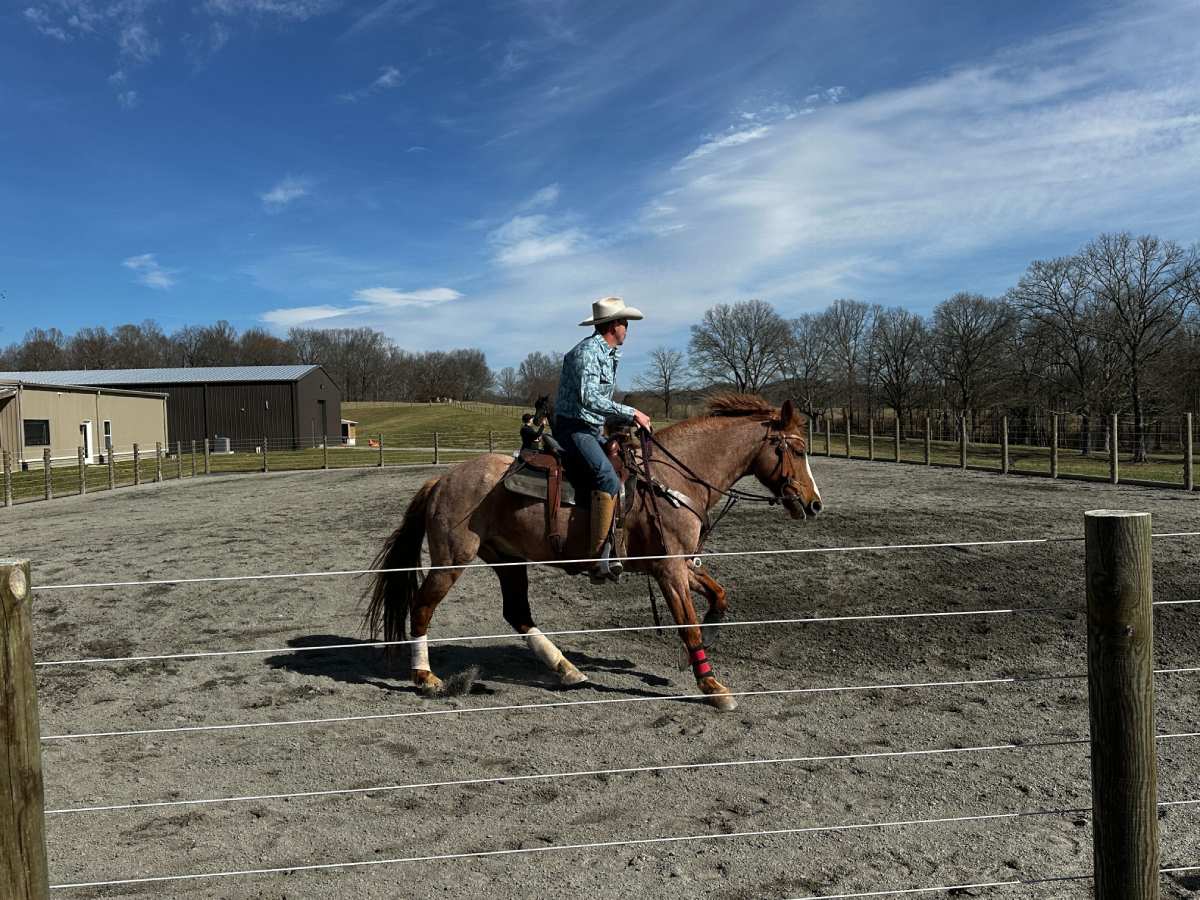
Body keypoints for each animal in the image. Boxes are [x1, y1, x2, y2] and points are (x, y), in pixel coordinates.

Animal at [365, 394, 822, 711]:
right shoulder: (669, 569)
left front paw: (702, 649)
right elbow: (688, 624)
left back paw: (567, 669)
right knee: (422, 607)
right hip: (451, 560)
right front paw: (712, 686)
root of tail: (442, 479)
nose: (815, 504)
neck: (676, 478)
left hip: (508, 560)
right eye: (798, 450)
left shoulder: (674, 564)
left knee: (517, 613)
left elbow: (719, 596)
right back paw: (425, 677)